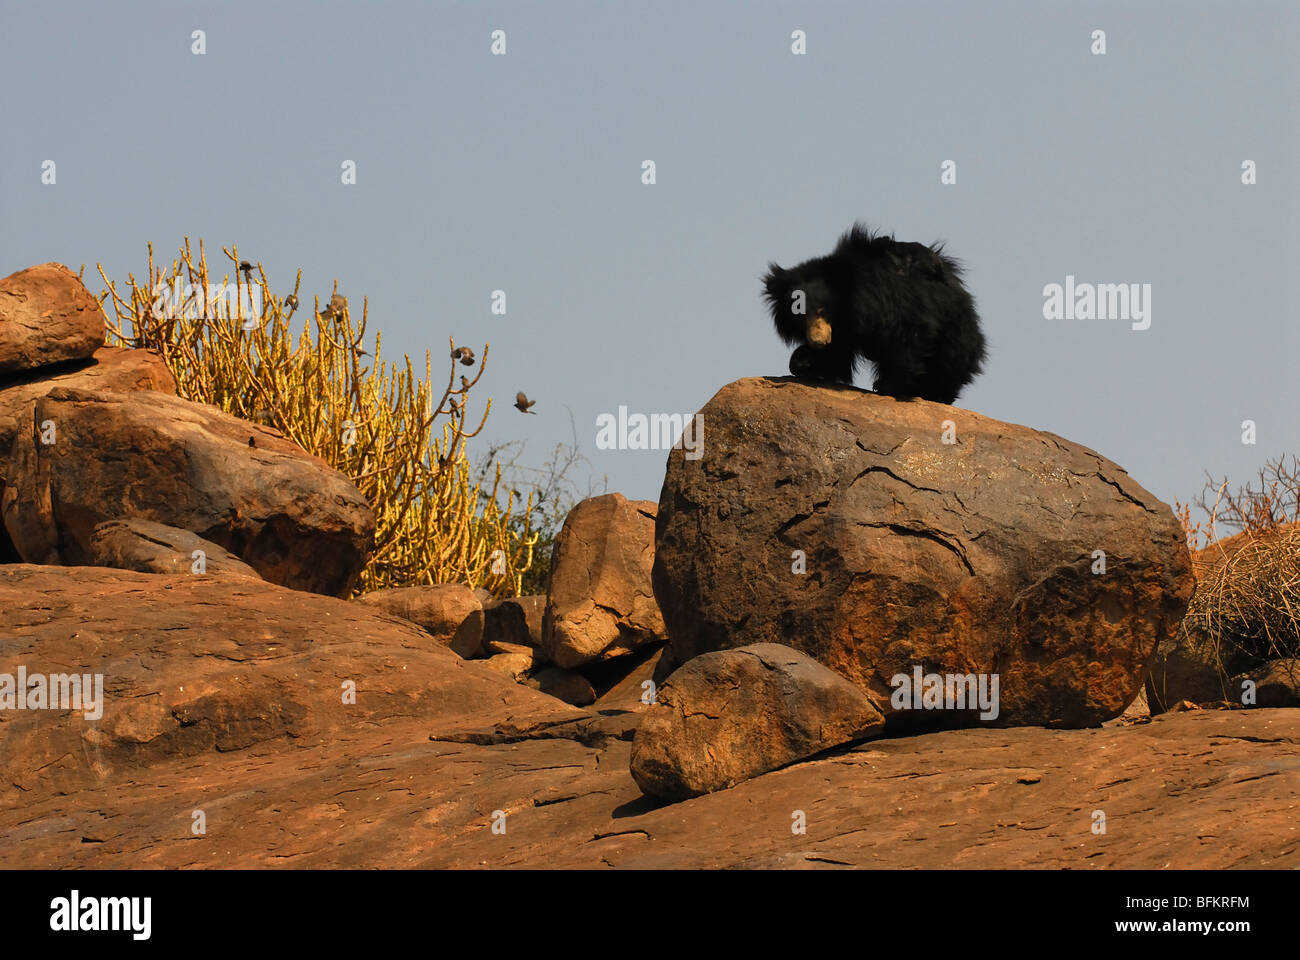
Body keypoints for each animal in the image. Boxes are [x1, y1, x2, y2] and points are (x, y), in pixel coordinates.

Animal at [763, 222, 987, 404]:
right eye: (799, 318)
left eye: (822, 311)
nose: (818, 342)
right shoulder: (843, 329)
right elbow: (837, 354)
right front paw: (804, 363)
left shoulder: (883, 298)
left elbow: (910, 331)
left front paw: (888, 385)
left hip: (956, 326)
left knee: (951, 358)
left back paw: (936, 393)